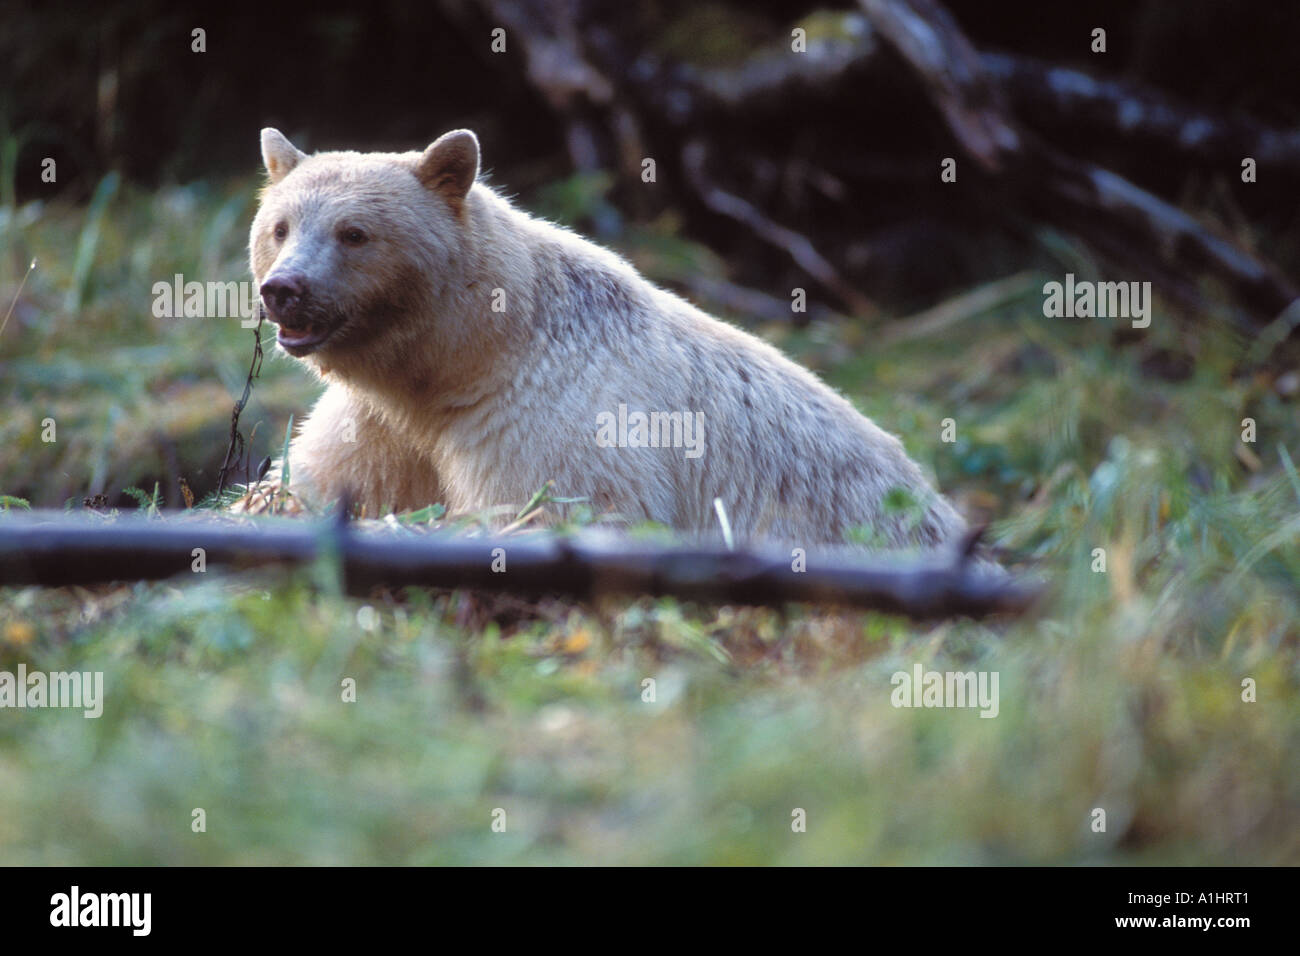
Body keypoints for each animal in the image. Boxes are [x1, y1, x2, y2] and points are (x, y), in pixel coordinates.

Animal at [243, 127, 967, 551]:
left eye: (354, 233)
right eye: (281, 226)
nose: (285, 289)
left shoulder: (553, 416)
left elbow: (558, 508)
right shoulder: (382, 423)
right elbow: (311, 480)